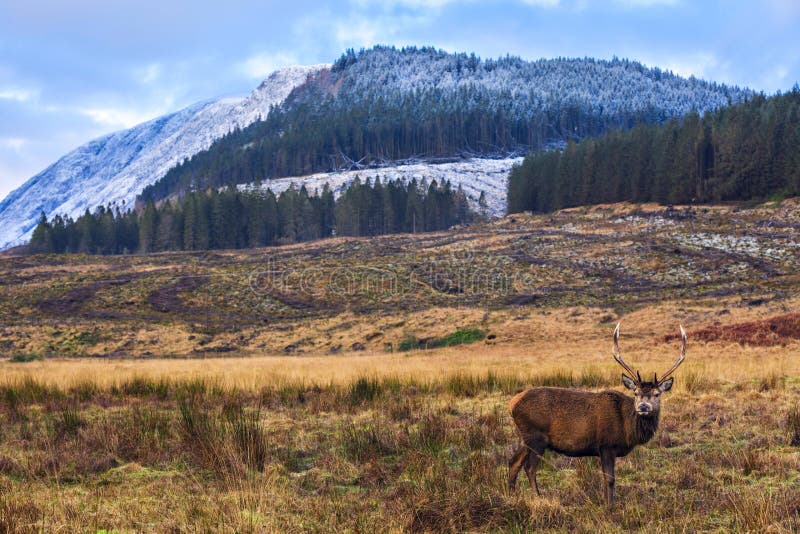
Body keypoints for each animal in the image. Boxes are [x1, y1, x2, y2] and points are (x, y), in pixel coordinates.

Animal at [508, 323, 686, 506]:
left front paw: (606, 501)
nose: (643, 407)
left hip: (525, 437)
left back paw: (512, 496)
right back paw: (538, 497)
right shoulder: (606, 444)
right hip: (536, 436)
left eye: (657, 394)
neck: (627, 429)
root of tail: (512, 404)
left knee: (513, 462)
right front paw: (610, 506)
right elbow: (610, 479)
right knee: (529, 467)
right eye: (636, 393)